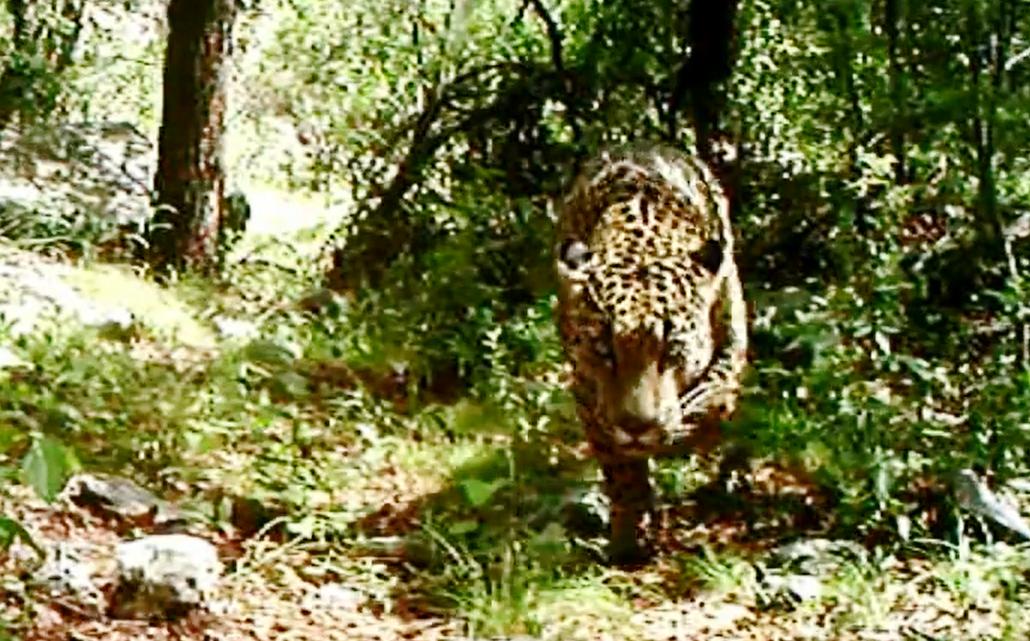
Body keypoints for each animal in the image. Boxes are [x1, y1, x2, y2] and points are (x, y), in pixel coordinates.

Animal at [554, 143, 748, 563]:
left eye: (671, 349)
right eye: (603, 349)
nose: (637, 427)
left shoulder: (732, 343)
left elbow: (715, 401)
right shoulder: (585, 389)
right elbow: (619, 467)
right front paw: (630, 537)